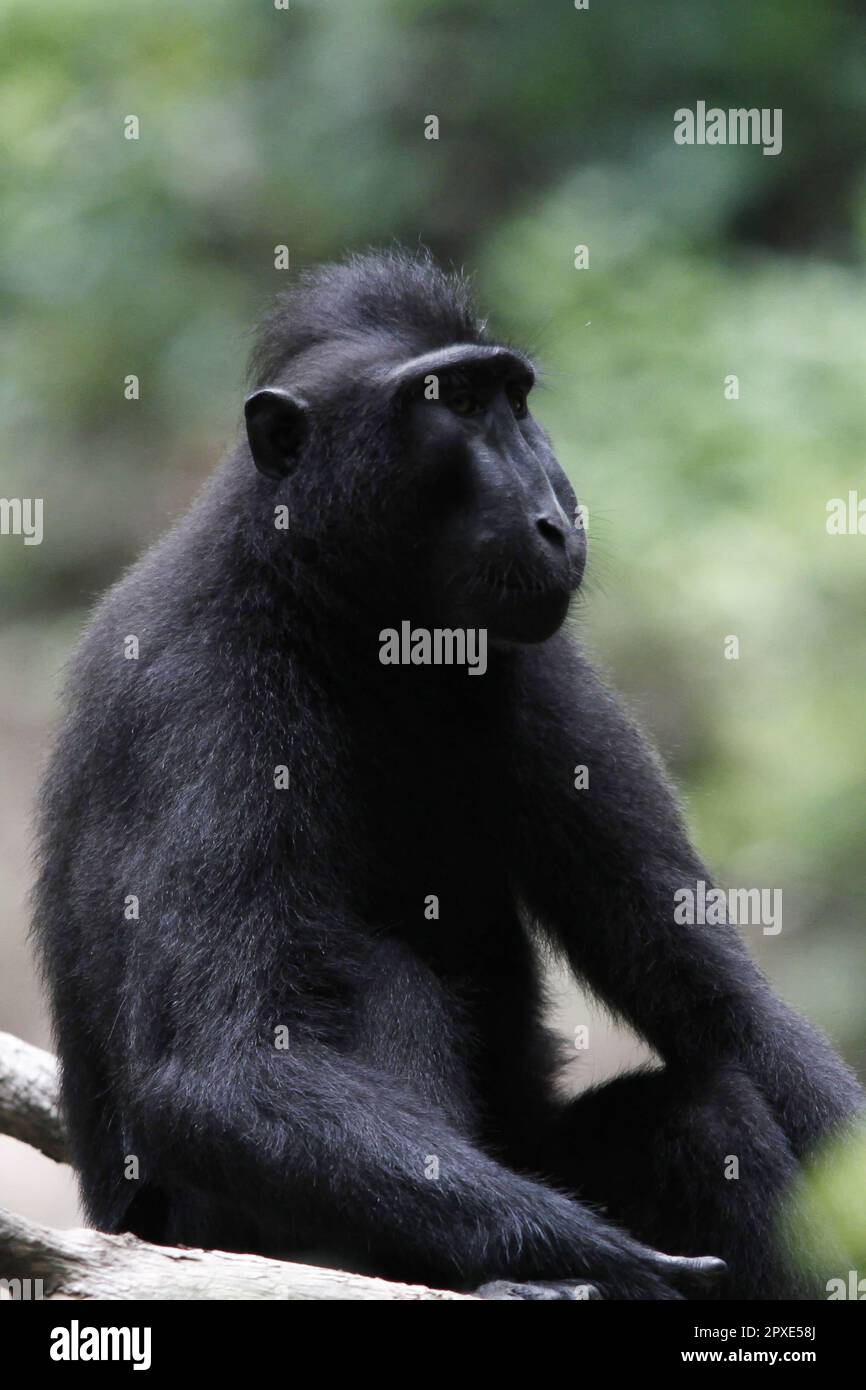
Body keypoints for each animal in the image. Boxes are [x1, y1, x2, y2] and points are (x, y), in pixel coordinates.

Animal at [33, 248, 863, 1299]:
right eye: (453, 401)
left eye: (514, 399)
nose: (556, 516)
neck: (350, 624)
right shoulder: (197, 693)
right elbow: (218, 1069)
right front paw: (594, 1253)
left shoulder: (534, 665)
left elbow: (711, 993)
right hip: (209, 1231)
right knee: (379, 981)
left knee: (708, 1113)